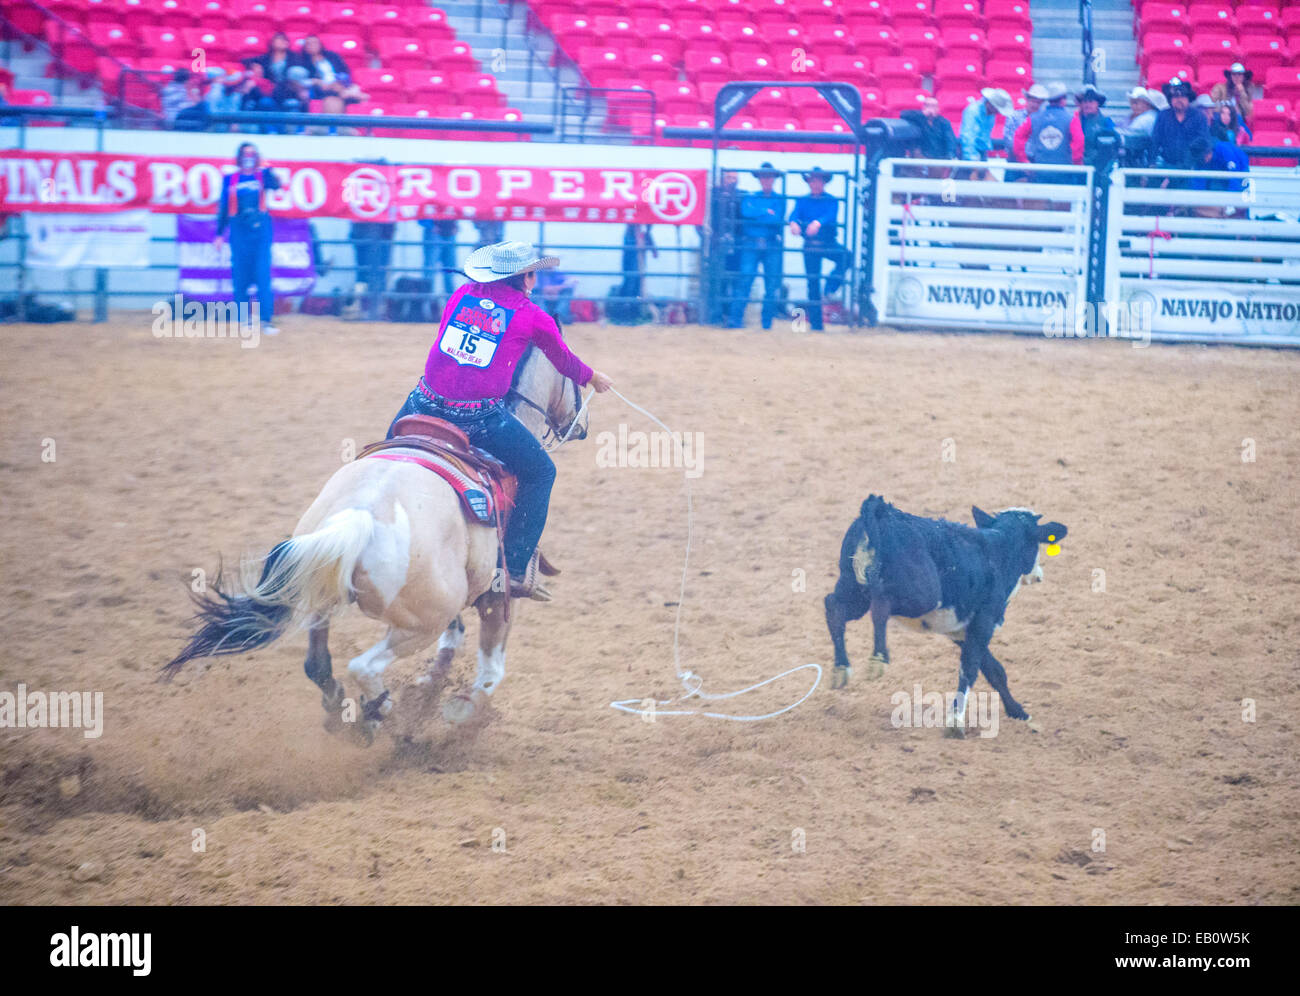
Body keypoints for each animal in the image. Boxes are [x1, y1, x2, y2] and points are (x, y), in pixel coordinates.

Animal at [824, 496, 1067, 736]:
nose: (1038, 574)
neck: (998, 550)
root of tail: (880, 510)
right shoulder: (984, 622)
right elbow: (969, 668)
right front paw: (955, 721)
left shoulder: (962, 630)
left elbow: (994, 670)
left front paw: (1018, 711)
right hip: (920, 595)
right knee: (880, 606)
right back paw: (878, 660)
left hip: (854, 590)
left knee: (833, 606)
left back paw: (841, 669)